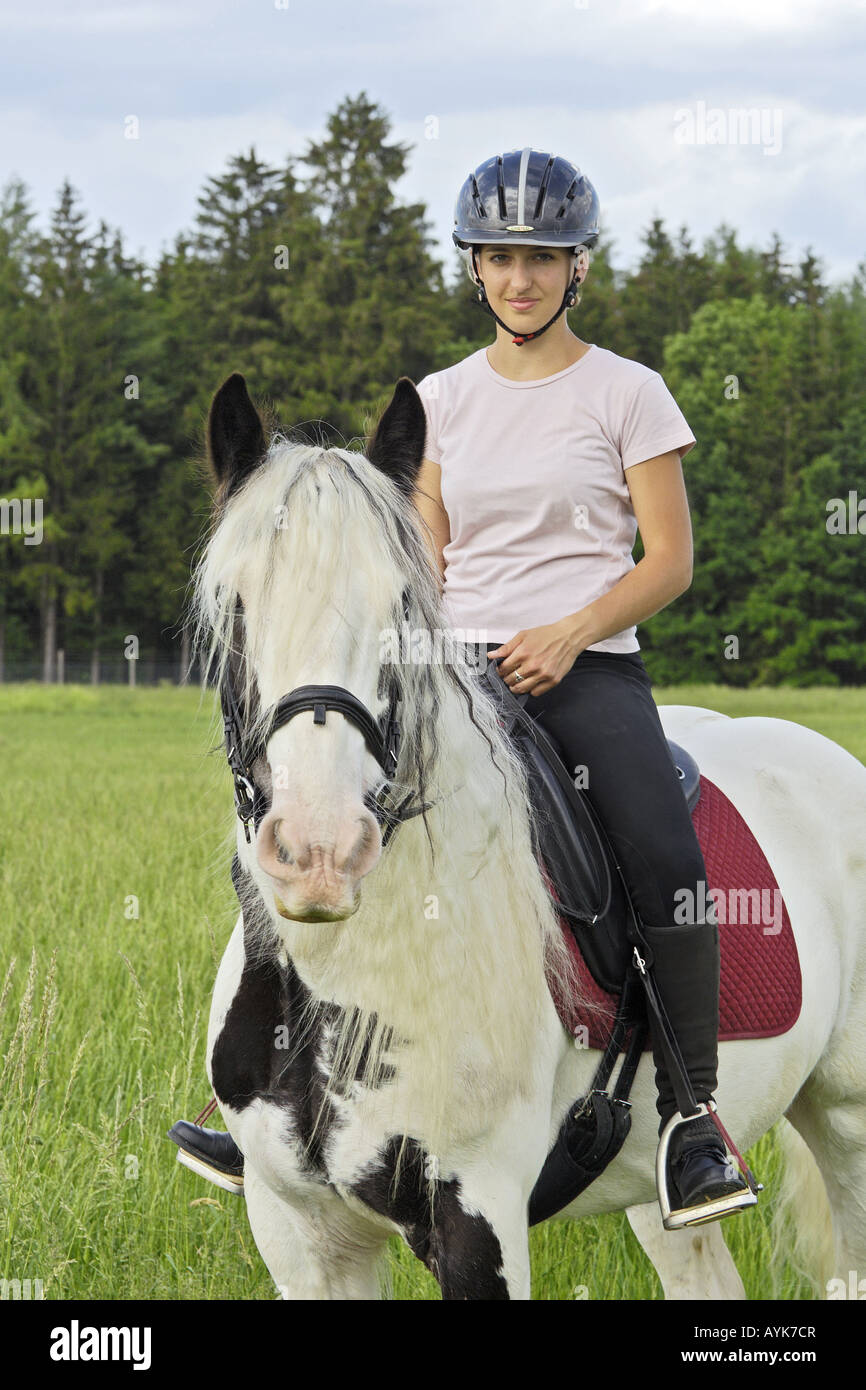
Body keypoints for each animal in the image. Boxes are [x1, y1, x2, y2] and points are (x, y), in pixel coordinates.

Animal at [191, 370, 866, 1300]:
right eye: (238, 605)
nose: (320, 853)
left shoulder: (479, 1215)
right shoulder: (301, 1234)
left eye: (405, 607)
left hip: (849, 1124)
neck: (345, 983)